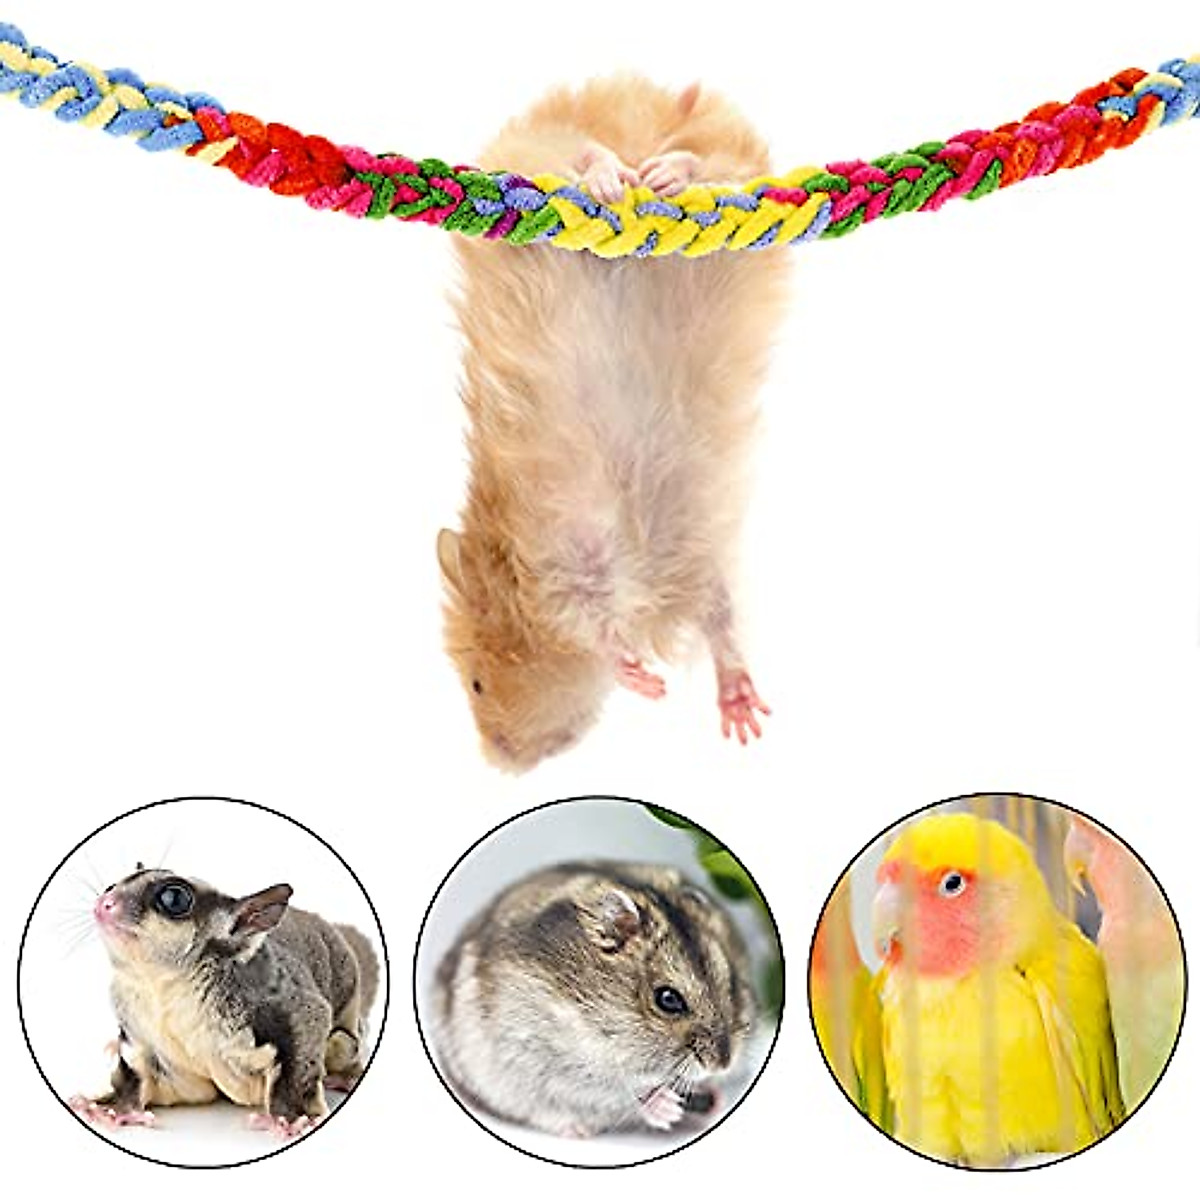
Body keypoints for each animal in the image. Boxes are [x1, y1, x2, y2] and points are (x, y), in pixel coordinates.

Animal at [70, 866, 380, 1138]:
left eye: (174, 898)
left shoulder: (274, 999)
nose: (103, 904)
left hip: (345, 1033)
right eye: (110, 886)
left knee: (344, 1042)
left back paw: (347, 1076)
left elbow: (306, 1030)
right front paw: (113, 1109)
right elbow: (143, 1075)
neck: (165, 986)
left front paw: (289, 1118)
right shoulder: (142, 1032)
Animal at [430, 861, 756, 1137]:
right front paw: (669, 1108)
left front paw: (712, 1099)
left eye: (731, 982)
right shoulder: (555, 1062)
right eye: (668, 999)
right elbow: (621, 1092)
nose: (722, 1065)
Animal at [438, 76, 792, 771]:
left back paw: (632, 176)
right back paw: (637, 175)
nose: (497, 765)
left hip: (542, 168)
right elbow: (718, 618)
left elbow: (605, 625)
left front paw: (640, 674)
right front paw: (739, 719)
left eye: (476, 683)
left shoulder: (568, 560)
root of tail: (637, 112)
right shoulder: (692, 559)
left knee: (626, 156)